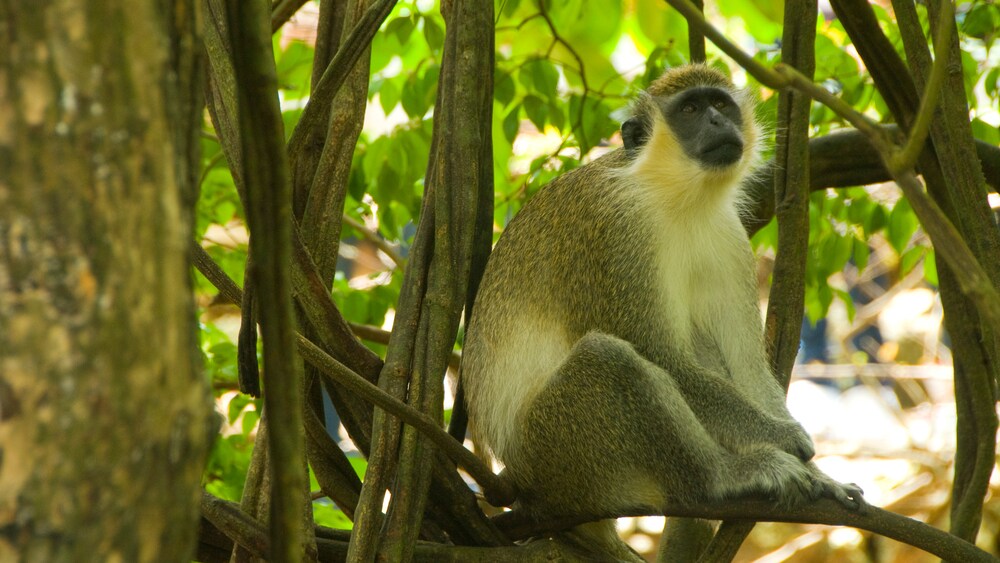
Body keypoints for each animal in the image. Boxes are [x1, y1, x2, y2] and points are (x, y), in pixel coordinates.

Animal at [461, 65, 865, 560]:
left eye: (720, 104)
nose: (718, 122)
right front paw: (786, 441)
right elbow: (662, 357)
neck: (677, 196)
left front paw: (820, 473)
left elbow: (748, 367)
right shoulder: (615, 234)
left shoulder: (730, 239)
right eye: (689, 109)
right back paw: (722, 479)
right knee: (610, 359)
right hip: (556, 455)